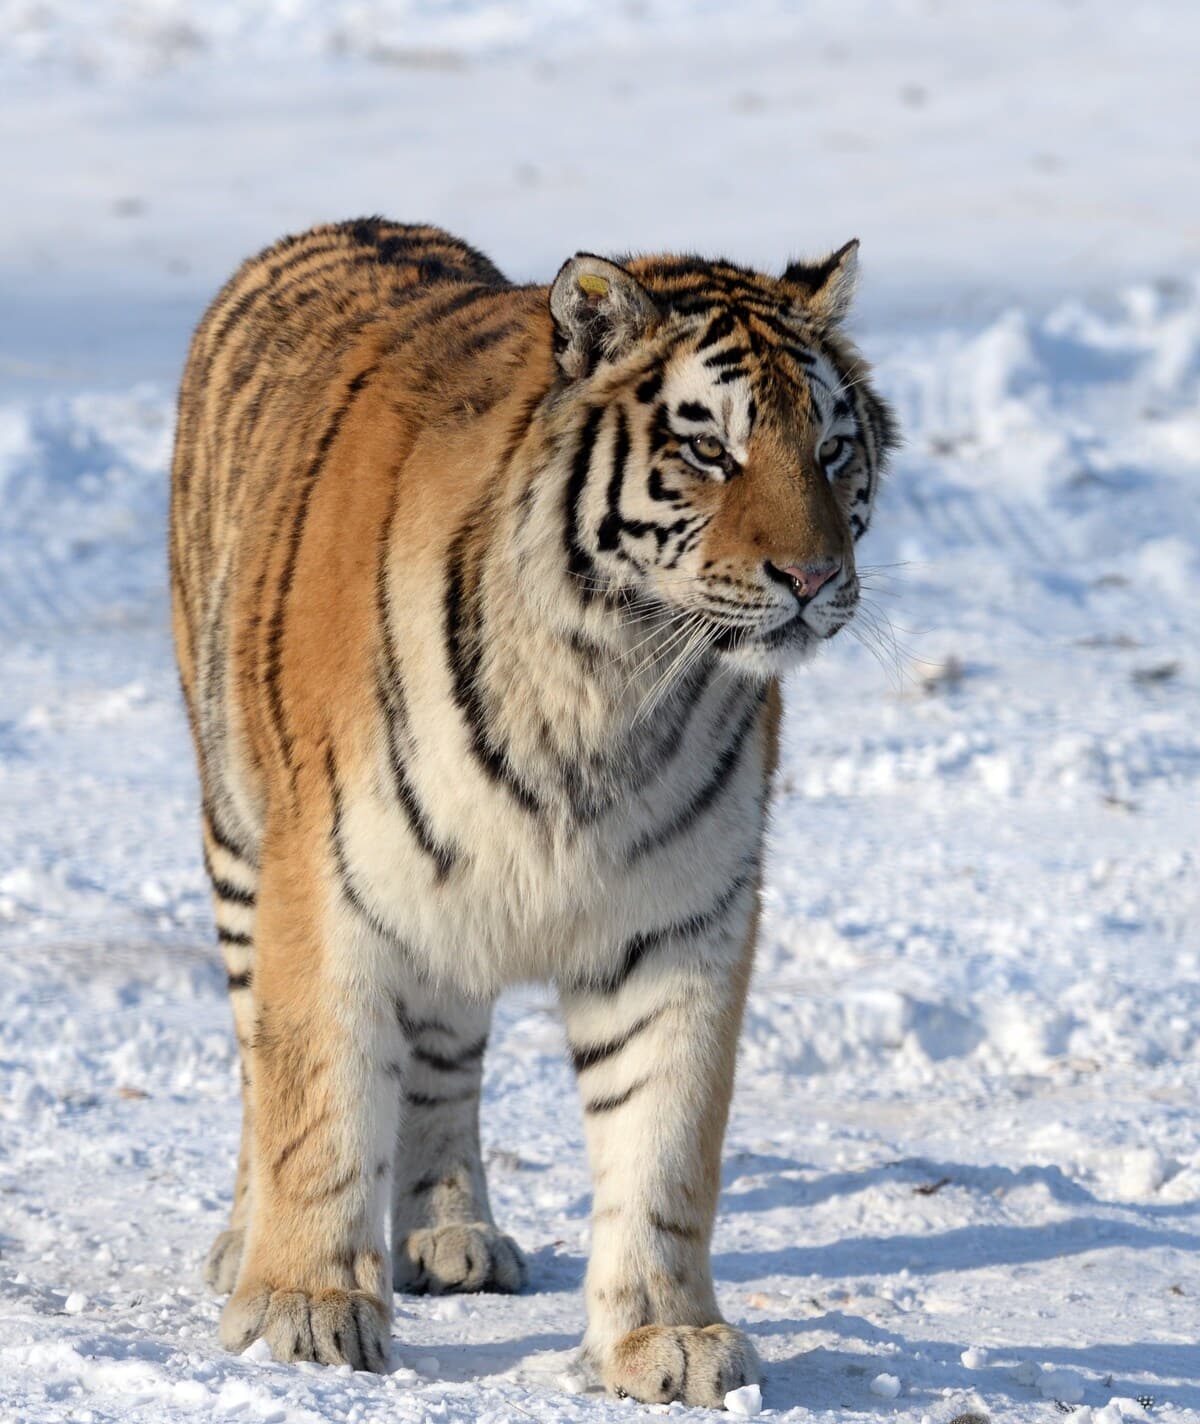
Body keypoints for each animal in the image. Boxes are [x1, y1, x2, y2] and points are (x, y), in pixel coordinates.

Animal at [169, 217, 896, 1408]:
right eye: (710, 448)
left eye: (834, 449)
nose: (813, 576)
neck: (611, 673)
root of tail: (343, 224)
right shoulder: (324, 881)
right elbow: (318, 1100)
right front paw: (303, 1311)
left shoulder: (680, 912)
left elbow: (663, 1138)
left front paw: (667, 1335)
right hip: (239, 830)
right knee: (254, 1055)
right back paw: (246, 1240)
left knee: (442, 1059)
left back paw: (452, 1234)